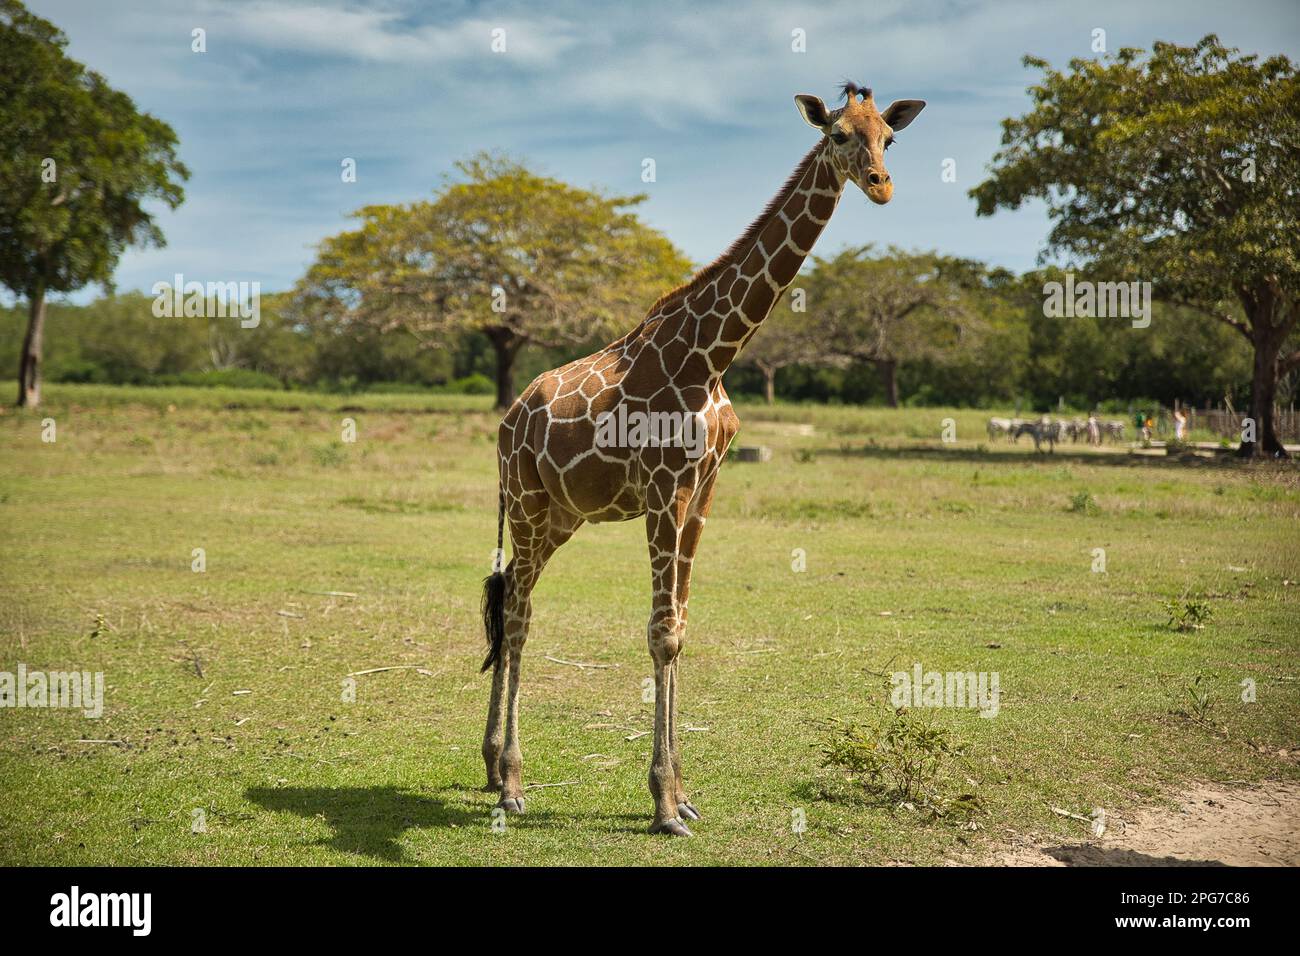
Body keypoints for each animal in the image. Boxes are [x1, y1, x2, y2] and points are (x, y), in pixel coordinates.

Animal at [479, 82, 926, 835]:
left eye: (888, 139)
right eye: (837, 134)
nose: (882, 185)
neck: (713, 354)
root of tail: (509, 422)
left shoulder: (704, 489)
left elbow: (681, 630)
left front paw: (683, 794)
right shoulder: (663, 488)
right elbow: (660, 634)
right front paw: (662, 803)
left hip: (564, 516)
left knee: (510, 594)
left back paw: (488, 766)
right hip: (532, 506)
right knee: (516, 613)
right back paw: (511, 781)